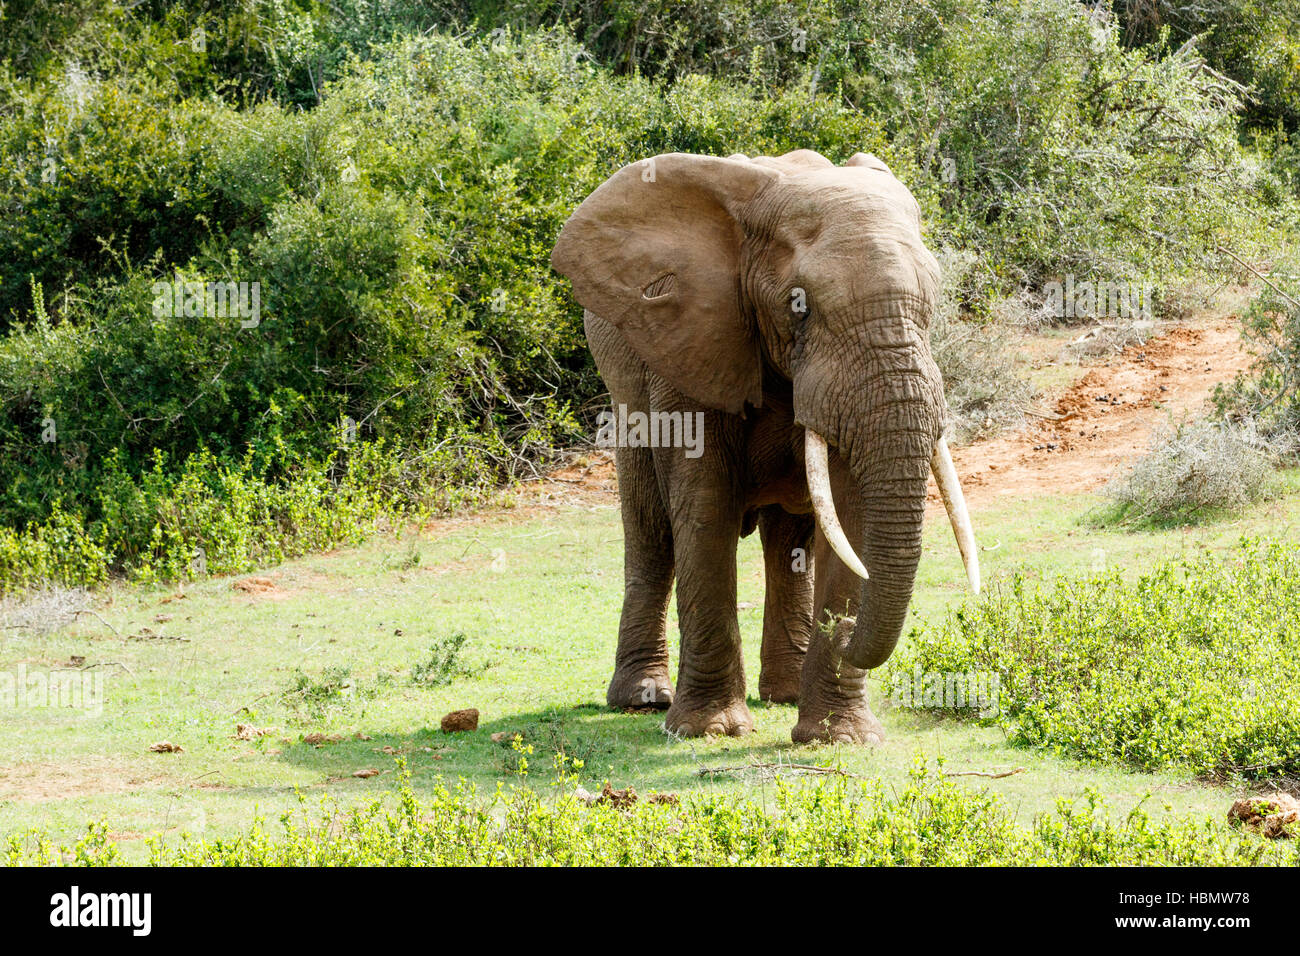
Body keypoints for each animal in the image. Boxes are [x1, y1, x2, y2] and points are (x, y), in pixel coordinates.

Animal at [550, 148, 980, 744]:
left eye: (933, 303)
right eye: (799, 307)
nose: (846, 633)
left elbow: (850, 513)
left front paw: (839, 738)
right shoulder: (690, 340)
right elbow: (703, 507)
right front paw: (709, 730)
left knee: (787, 539)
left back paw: (787, 692)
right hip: (624, 378)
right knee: (652, 530)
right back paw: (642, 699)